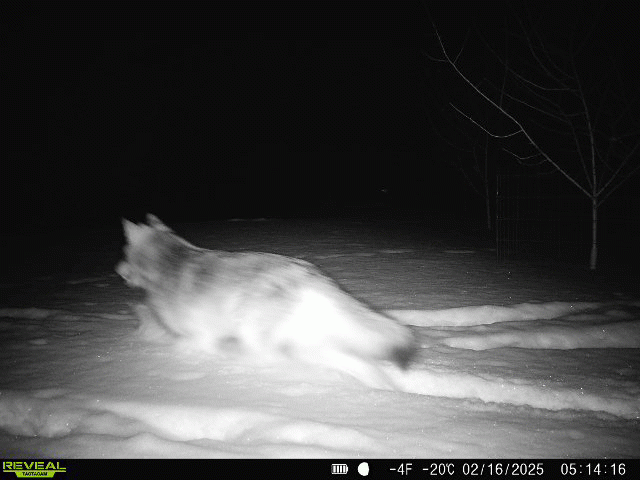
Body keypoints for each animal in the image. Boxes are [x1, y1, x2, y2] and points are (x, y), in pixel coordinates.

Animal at [116, 214, 416, 389]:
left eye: (124, 251)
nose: (117, 270)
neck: (168, 262)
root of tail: (309, 275)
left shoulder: (199, 338)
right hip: (308, 341)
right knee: (353, 363)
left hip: (261, 336)